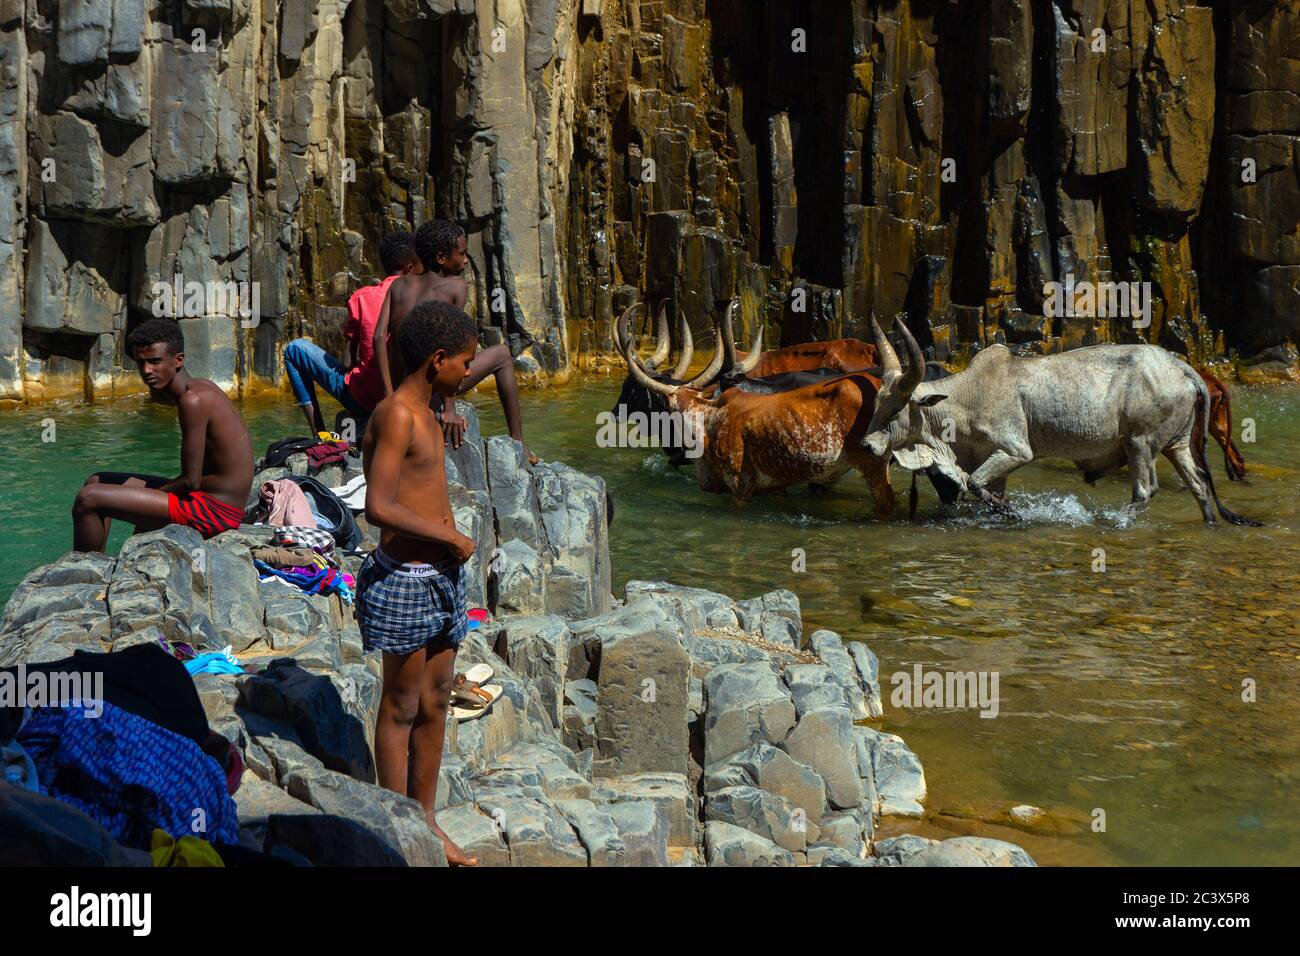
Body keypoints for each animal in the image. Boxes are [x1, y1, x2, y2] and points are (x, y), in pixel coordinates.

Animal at [858, 316, 1260, 525]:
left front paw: (1017, 514)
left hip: (1140, 443)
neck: (965, 399)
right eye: (876, 404)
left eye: (896, 409)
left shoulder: (1015, 451)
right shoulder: (993, 462)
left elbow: (974, 484)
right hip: (1176, 445)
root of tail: (1181, 367)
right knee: (1199, 486)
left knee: (1145, 491)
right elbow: (984, 491)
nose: (866, 445)